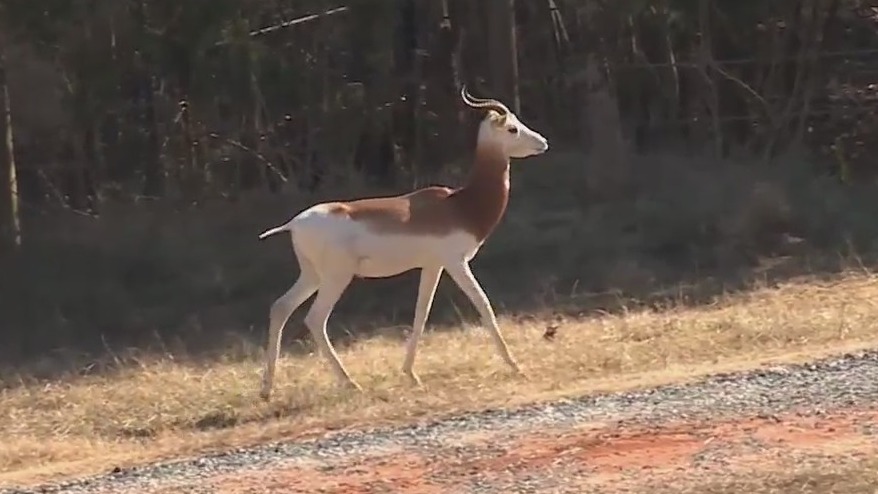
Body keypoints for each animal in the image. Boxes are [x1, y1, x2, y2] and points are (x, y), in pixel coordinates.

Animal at [257, 87, 549, 400]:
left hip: (312, 275)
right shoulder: (455, 262)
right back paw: (351, 383)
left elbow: (421, 313)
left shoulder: (432, 266)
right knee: (315, 319)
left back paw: (267, 390)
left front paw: (410, 373)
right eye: (512, 128)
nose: (542, 143)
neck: (460, 205)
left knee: (280, 307)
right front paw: (516, 367)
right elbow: (484, 305)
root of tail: (294, 223)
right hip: (337, 277)